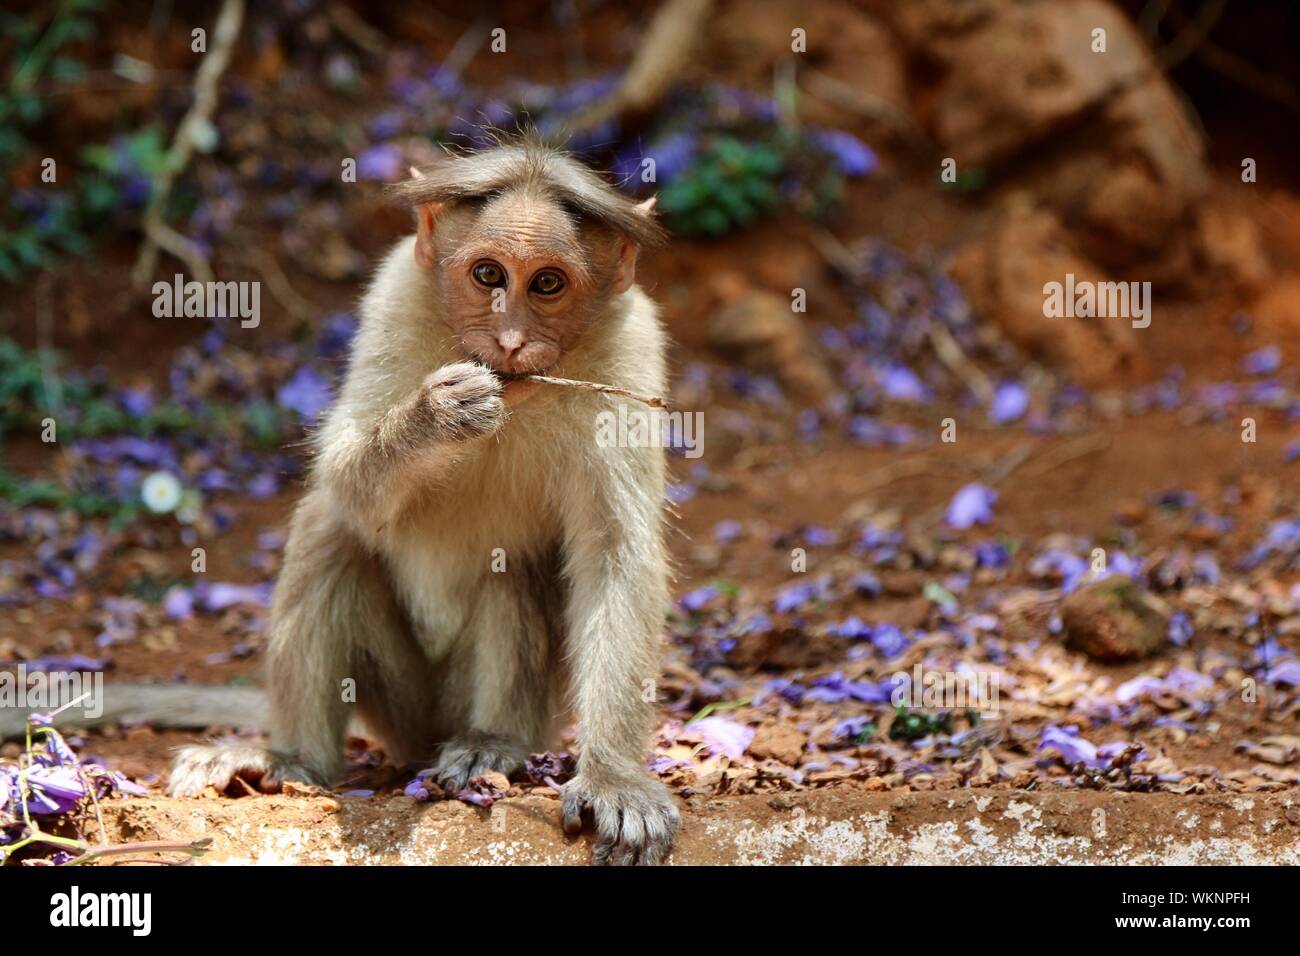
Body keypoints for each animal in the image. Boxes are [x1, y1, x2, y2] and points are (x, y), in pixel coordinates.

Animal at [5, 139, 681, 866]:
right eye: (488, 275)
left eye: (548, 285)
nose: (508, 344)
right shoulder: (395, 296)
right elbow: (346, 484)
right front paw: (434, 417)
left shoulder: (632, 350)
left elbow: (614, 554)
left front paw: (613, 778)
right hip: (400, 708)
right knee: (329, 530)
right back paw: (291, 761)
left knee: (512, 573)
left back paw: (490, 744)